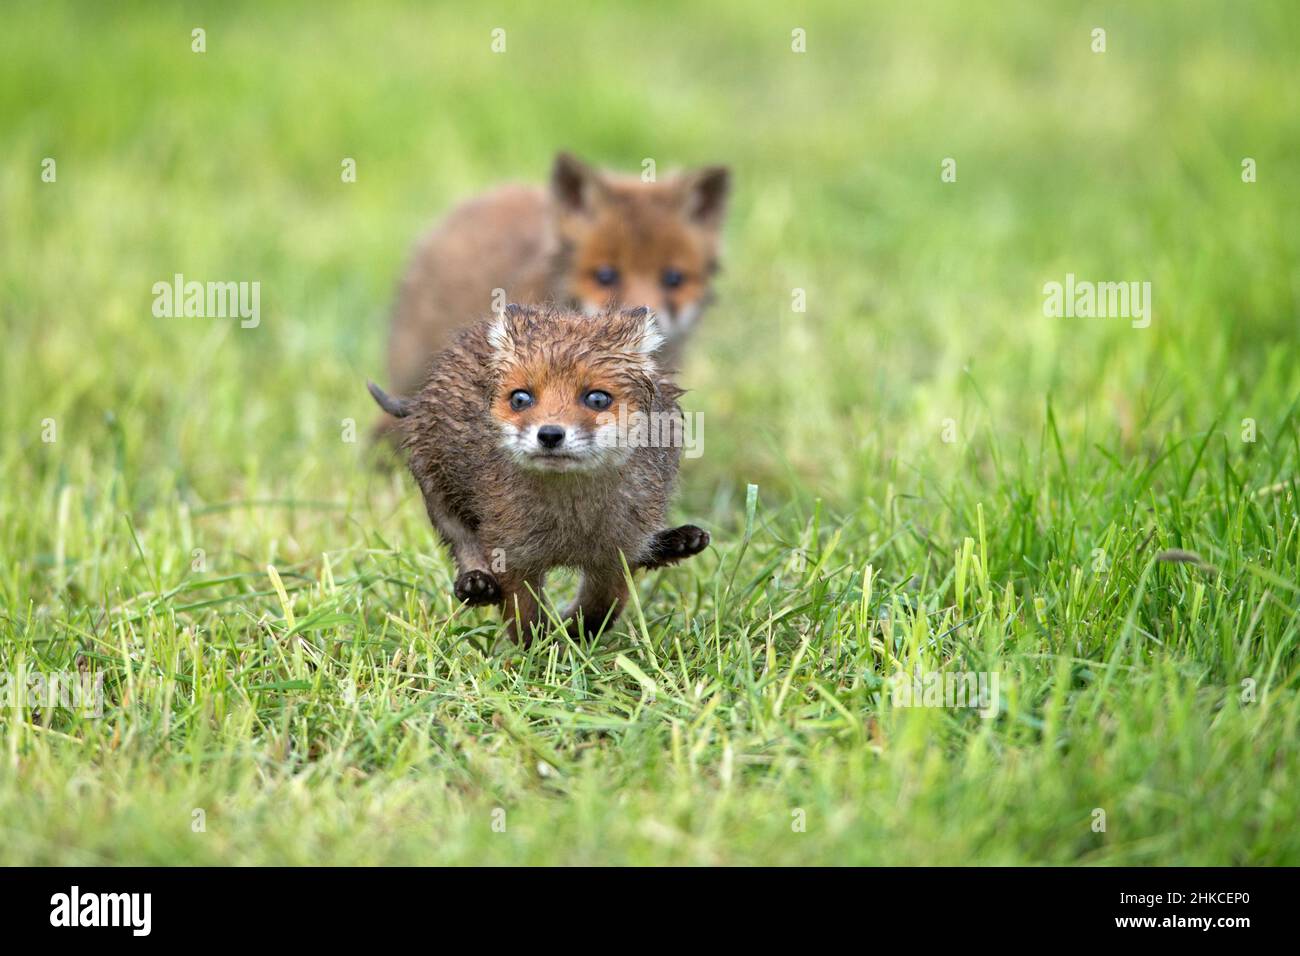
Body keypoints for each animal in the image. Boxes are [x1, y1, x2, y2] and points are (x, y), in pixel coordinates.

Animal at [368, 303, 710, 644]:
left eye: (597, 398)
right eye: (521, 398)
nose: (549, 434)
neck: (573, 516)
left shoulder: (617, 553)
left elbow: (599, 610)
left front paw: (573, 638)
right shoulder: (512, 553)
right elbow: (527, 620)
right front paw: (543, 649)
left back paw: (679, 542)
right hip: (440, 491)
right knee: (462, 544)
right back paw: (475, 585)